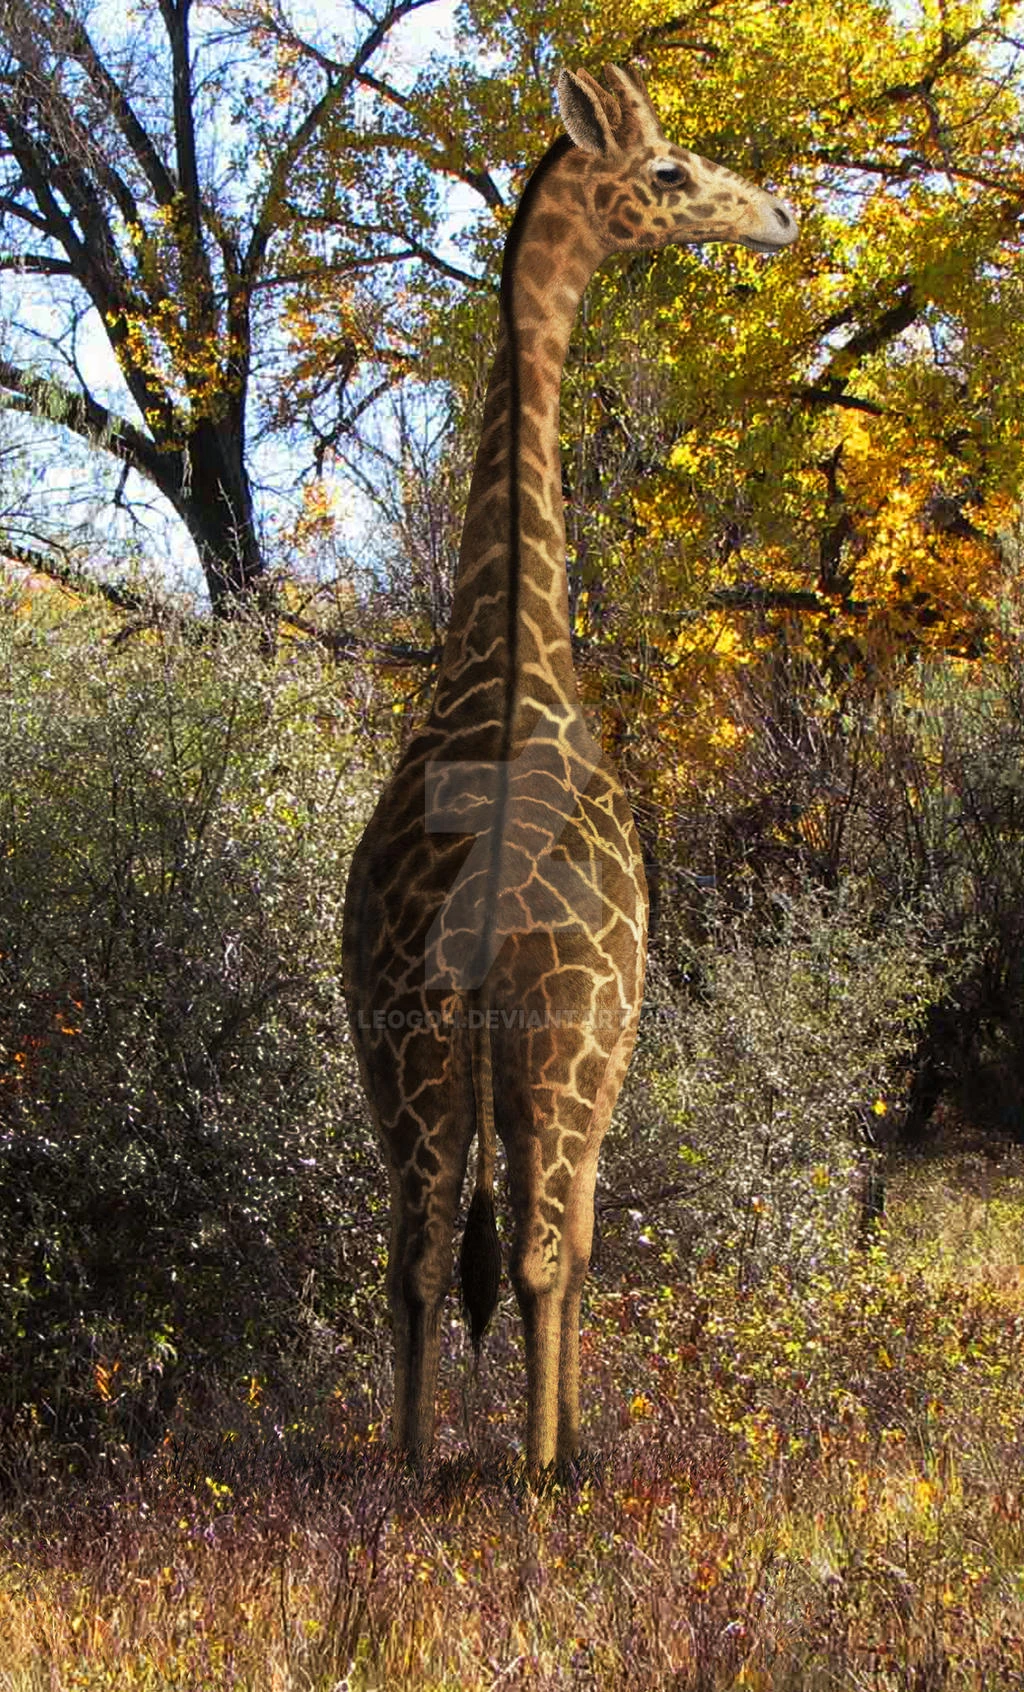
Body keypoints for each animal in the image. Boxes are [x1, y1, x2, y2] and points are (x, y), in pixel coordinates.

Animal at [342, 63, 797, 1473]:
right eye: (666, 172)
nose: (775, 216)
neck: (508, 652)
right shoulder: (614, 1052)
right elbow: (589, 1248)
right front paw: (578, 1434)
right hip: (563, 1045)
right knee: (540, 1250)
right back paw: (545, 1474)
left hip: (405, 1052)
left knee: (417, 1250)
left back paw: (412, 1465)